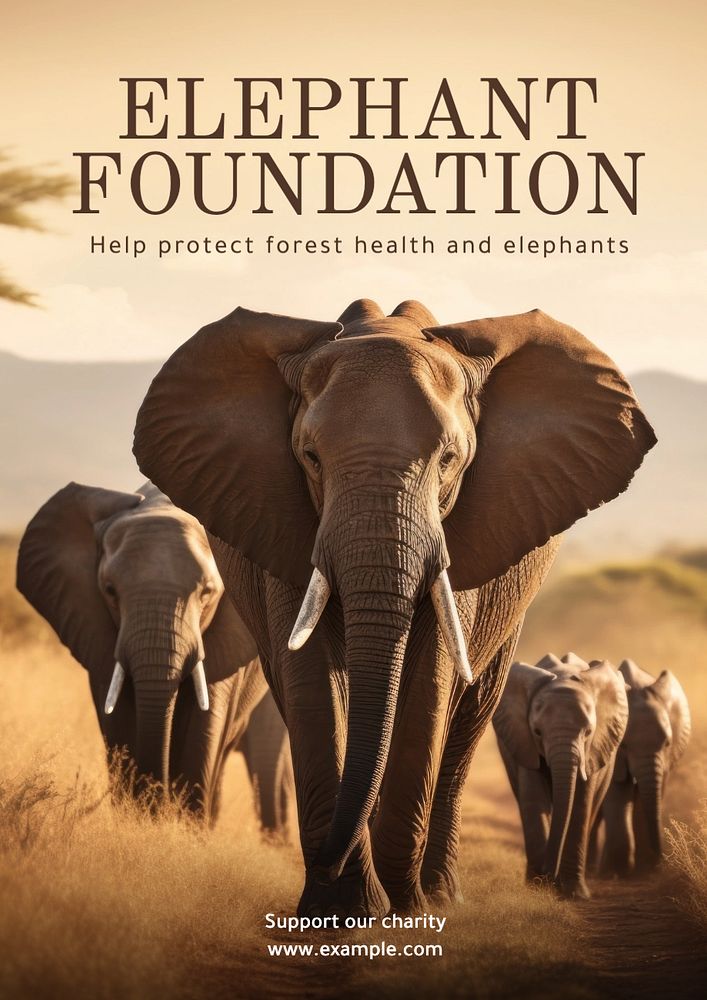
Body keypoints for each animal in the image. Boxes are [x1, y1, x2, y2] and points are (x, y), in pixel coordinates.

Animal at [16, 479, 292, 827]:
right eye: (109, 590)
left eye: (207, 593)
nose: (157, 802)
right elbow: (119, 725)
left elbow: (203, 732)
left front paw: (186, 830)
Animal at [493, 652, 629, 898]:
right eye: (537, 732)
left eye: (588, 732)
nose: (548, 875)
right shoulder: (523, 740)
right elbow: (533, 797)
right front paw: (536, 890)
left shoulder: (594, 748)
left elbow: (581, 803)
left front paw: (575, 894)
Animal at [600, 659, 690, 875]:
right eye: (623, 745)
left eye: (667, 743)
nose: (662, 861)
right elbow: (617, 793)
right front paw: (618, 873)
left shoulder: (665, 760)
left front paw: (642, 871)